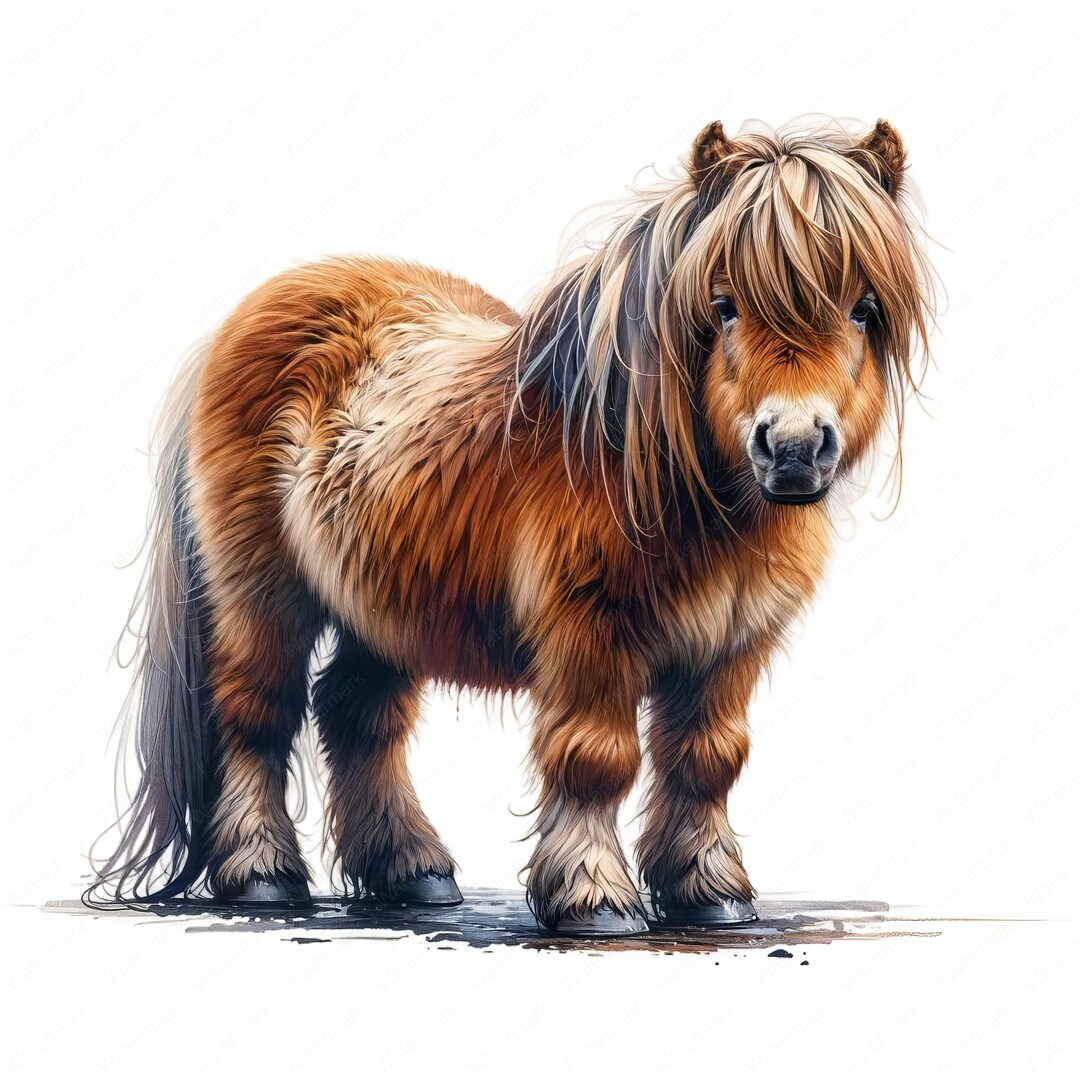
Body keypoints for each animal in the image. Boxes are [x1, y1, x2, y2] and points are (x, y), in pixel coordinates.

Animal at [90, 117, 933, 935]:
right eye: (722, 306)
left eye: (864, 309)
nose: (791, 448)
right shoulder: (590, 635)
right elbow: (596, 760)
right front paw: (595, 901)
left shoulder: (730, 646)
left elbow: (707, 761)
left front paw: (710, 893)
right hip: (262, 595)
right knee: (258, 712)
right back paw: (263, 875)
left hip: (383, 605)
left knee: (358, 717)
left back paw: (412, 872)